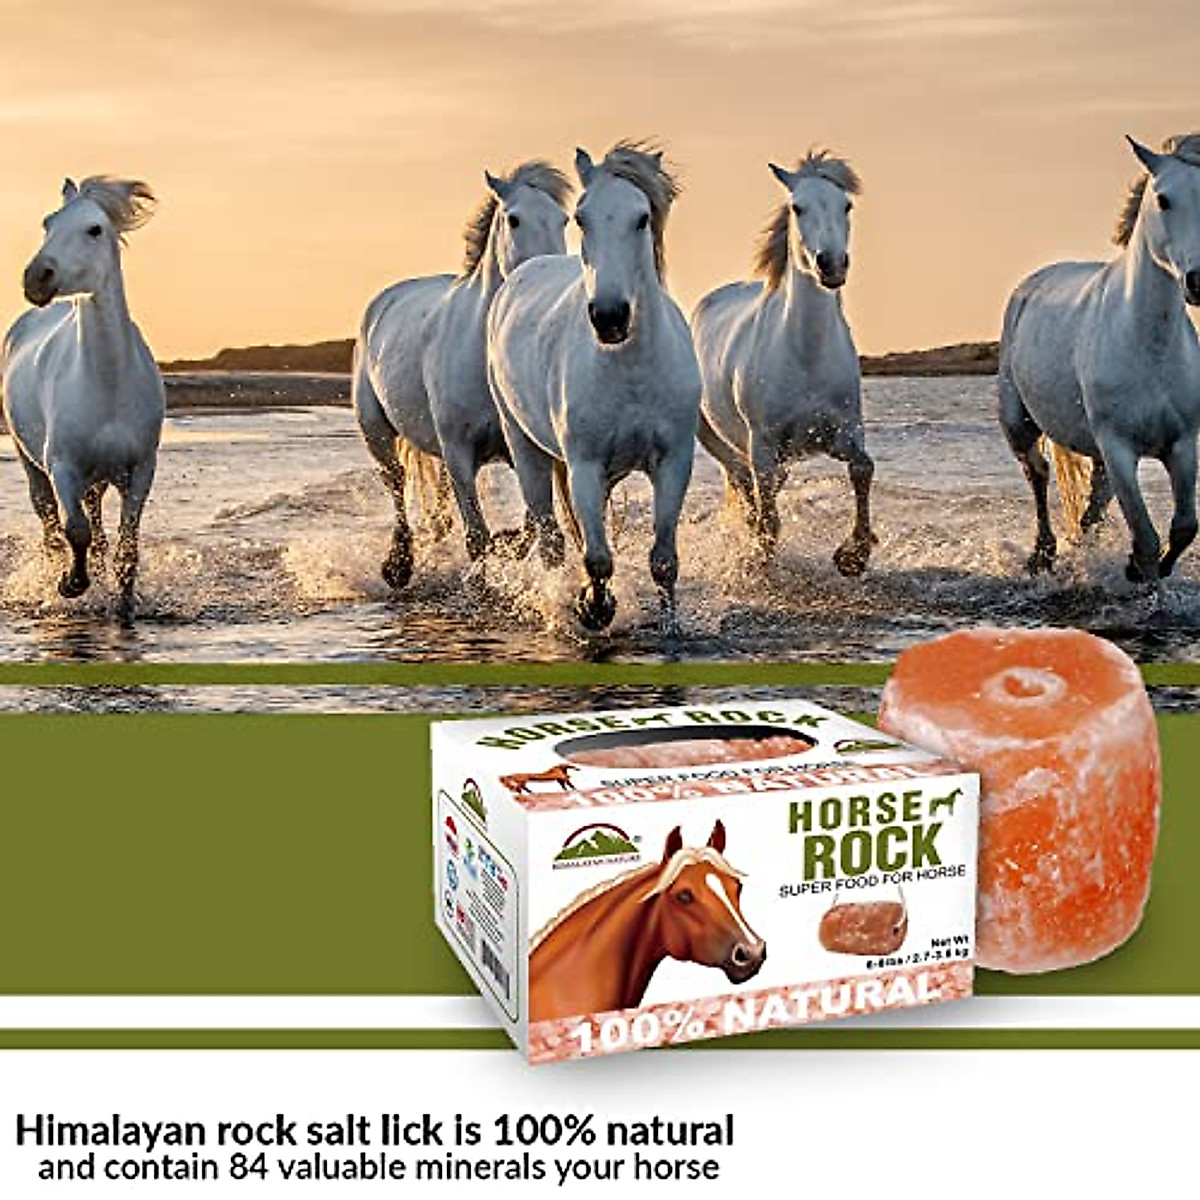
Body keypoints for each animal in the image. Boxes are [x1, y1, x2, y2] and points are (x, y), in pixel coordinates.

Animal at [1, 177, 164, 623]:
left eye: (94, 229)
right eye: (48, 223)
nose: (36, 278)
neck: (107, 385)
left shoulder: (141, 469)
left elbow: (127, 546)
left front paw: (123, 605)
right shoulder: (63, 466)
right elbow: (75, 530)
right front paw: (71, 584)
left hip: (99, 477)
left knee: (98, 526)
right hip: (32, 464)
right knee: (51, 523)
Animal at [353, 161, 571, 589]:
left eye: (564, 220)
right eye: (513, 219)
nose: (548, 275)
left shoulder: (519, 449)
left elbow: (528, 527)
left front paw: (507, 545)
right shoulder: (459, 452)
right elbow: (477, 538)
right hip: (377, 433)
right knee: (396, 484)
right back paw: (398, 566)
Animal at [487, 141, 702, 636]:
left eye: (641, 218)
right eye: (581, 218)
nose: (609, 316)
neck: (631, 369)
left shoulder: (673, 462)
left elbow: (664, 561)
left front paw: (670, 627)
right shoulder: (583, 465)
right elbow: (598, 557)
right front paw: (593, 608)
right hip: (525, 447)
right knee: (550, 538)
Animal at [692, 150, 875, 574]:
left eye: (846, 205)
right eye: (797, 207)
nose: (831, 264)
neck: (806, 355)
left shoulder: (845, 432)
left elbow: (863, 469)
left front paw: (853, 555)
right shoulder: (762, 446)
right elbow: (768, 521)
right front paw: (760, 564)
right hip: (719, 441)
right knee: (744, 487)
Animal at [999, 133, 1200, 582]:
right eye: (1163, 200)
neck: (1149, 345)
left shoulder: (1182, 445)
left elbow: (1183, 528)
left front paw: (1144, 569)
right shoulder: (1118, 446)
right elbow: (1146, 537)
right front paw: (1139, 572)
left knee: (1092, 504)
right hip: (1018, 423)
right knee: (1038, 474)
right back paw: (1043, 555)